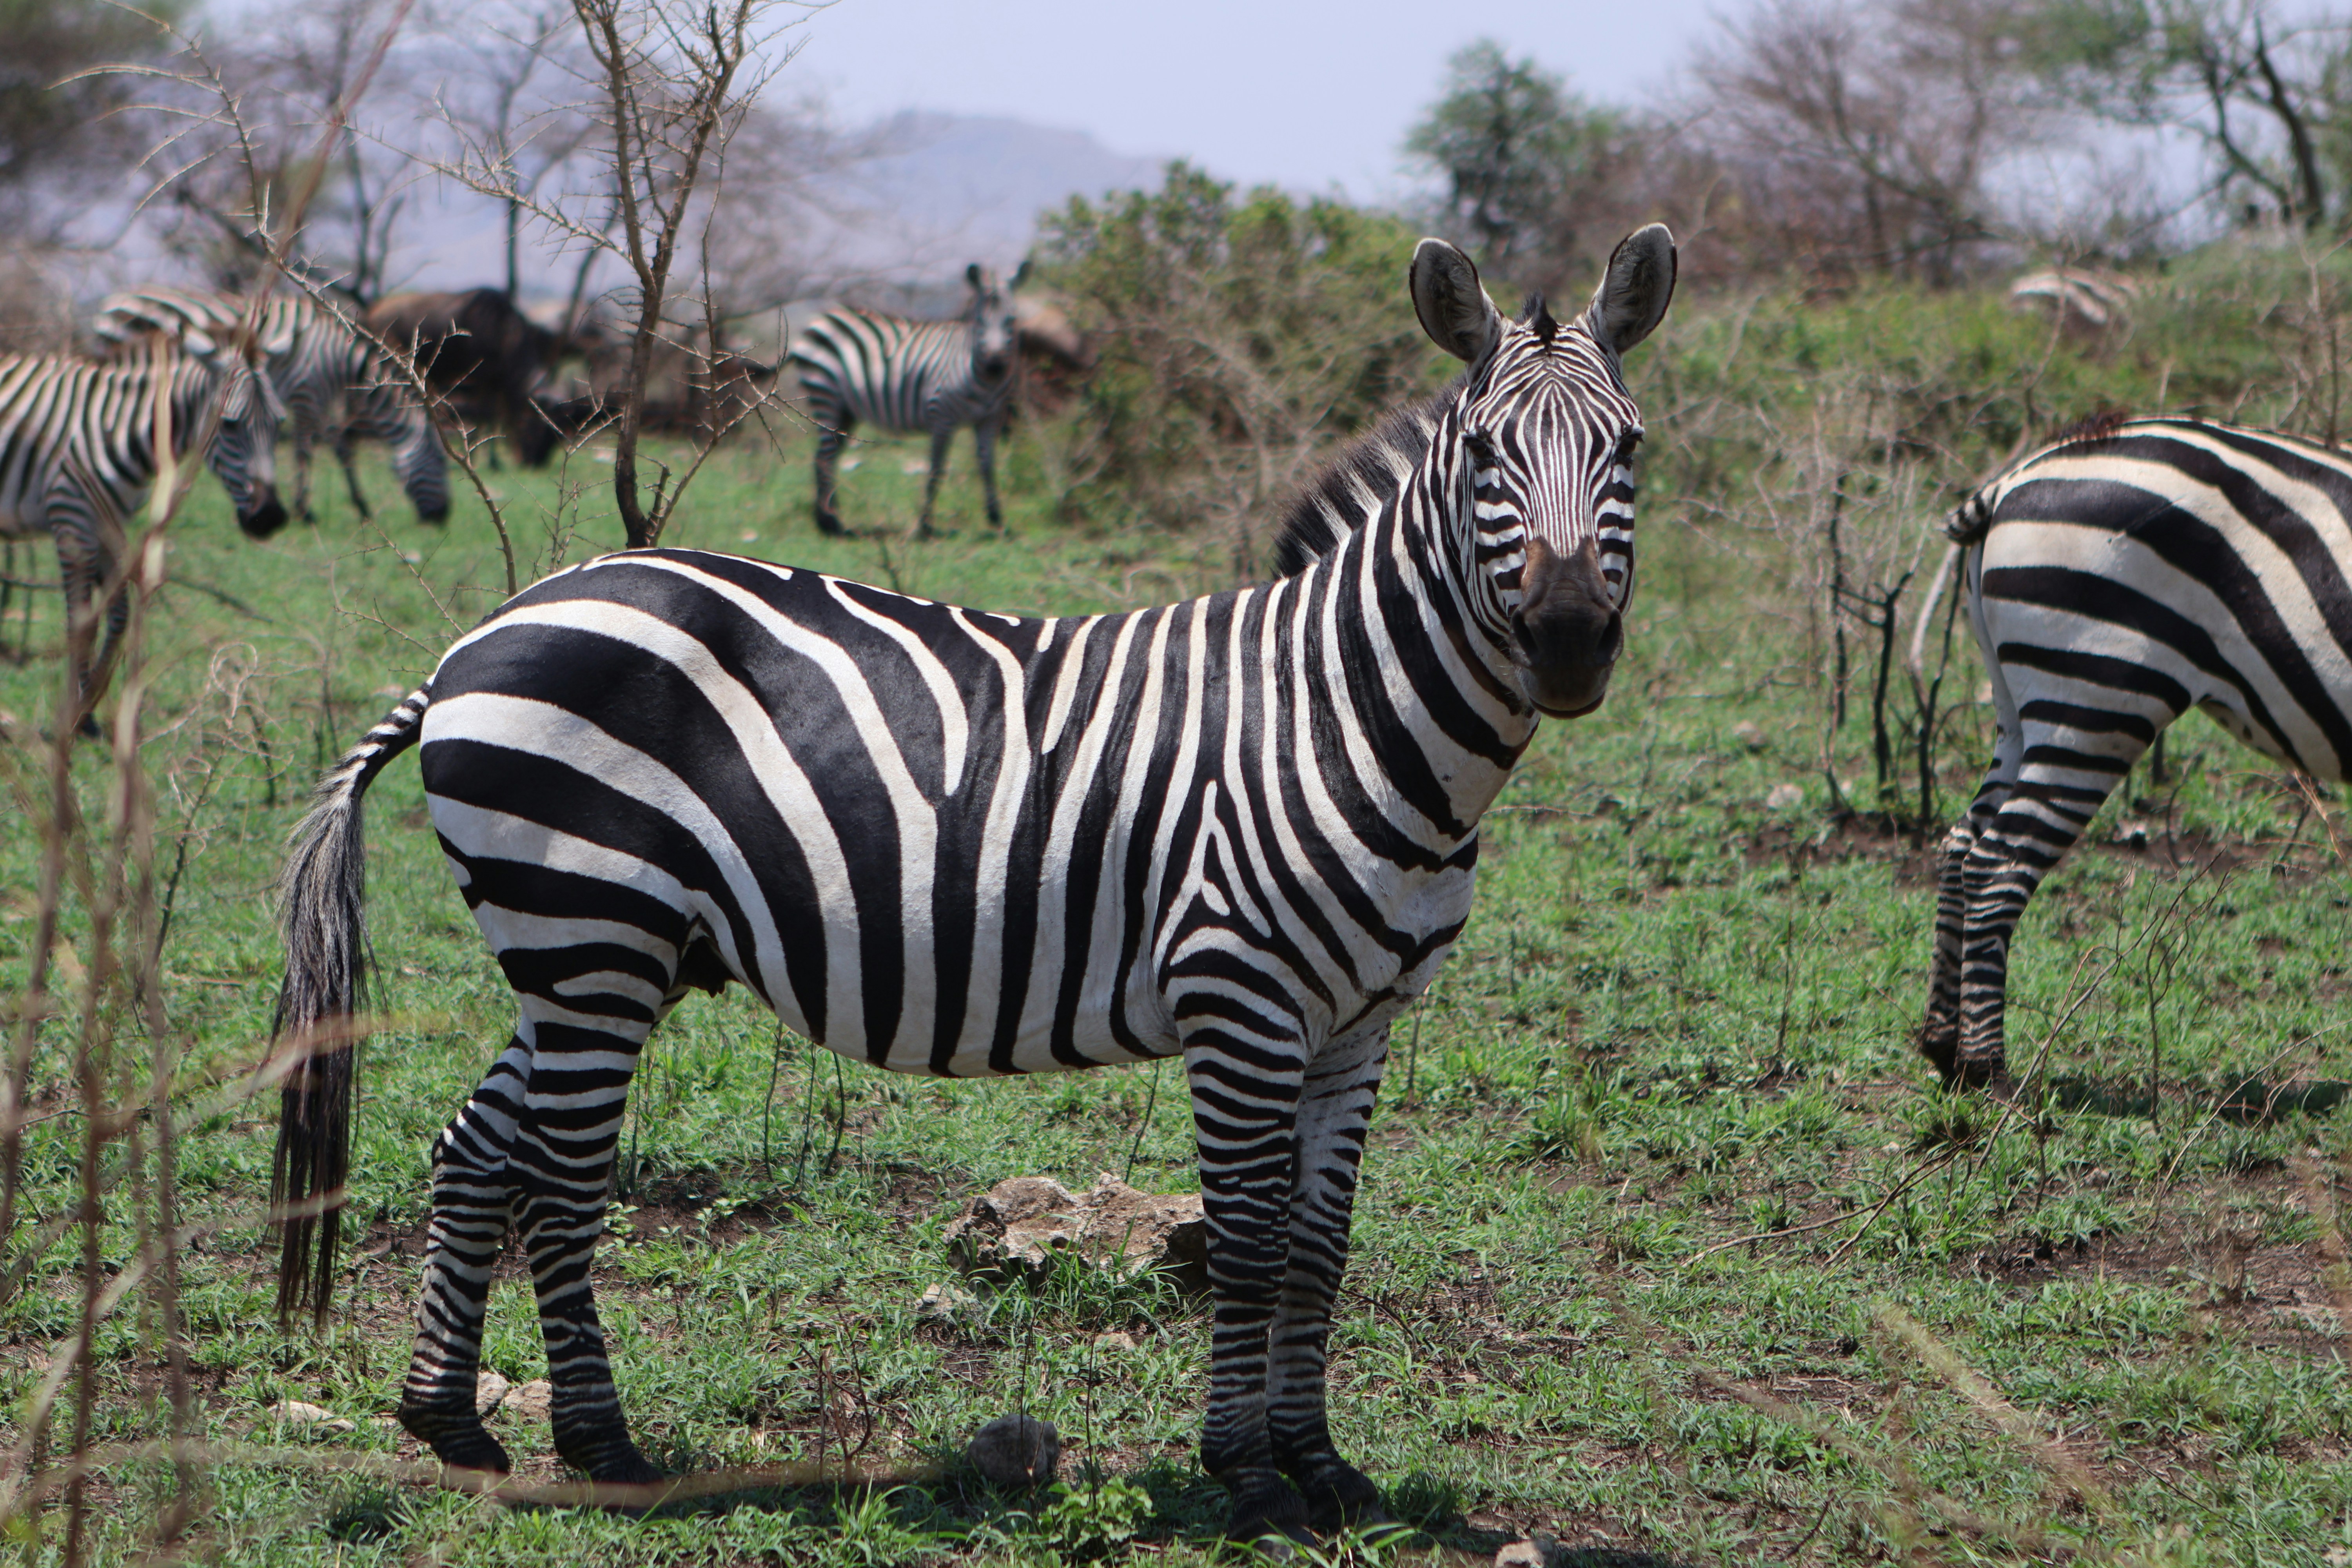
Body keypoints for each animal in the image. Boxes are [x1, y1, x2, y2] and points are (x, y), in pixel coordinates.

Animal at [0, 338, 285, 722]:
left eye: (279, 424)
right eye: (229, 425)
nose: (270, 517)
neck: (116, 431)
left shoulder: (107, 525)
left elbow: (119, 616)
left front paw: (91, 698)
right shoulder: (71, 517)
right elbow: (82, 623)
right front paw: (80, 715)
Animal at [94, 287, 450, 526]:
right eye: (441, 463)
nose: (443, 517)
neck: (337, 357)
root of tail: (114, 300)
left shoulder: (320, 399)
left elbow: (340, 447)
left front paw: (360, 506)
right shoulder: (307, 394)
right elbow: (307, 450)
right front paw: (306, 511)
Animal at [787, 262, 1028, 538]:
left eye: (1012, 320)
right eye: (979, 321)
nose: (995, 367)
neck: (981, 379)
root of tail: (822, 318)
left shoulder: (990, 418)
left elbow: (987, 466)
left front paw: (996, 519)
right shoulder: (941, 415)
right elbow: (937, 468)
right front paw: (925, 526)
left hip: (845, 410)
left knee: (827, 457)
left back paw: (828, 520)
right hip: (825, 394)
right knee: (825, 459)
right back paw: (831, 524)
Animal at [1919, 416, 2352, 1087]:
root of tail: (2010, 482)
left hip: (2018, 706)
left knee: (1963, 843)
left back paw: (1944, 1045)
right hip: (2097, 699)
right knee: (2000, 863)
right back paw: (1987, 1068)